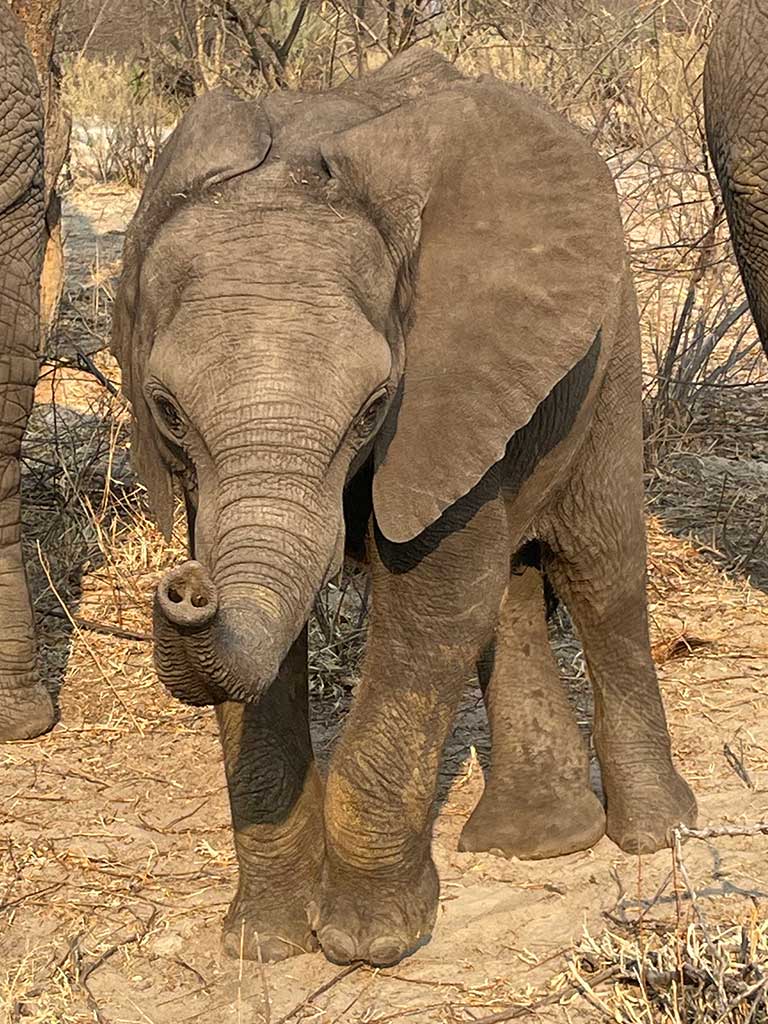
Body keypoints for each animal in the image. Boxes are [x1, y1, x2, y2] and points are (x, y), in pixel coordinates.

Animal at [112, 47, 697, 967]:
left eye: (374, 407)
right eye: (167, 410)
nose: (184, 586)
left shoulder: (446, 380)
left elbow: (431, 609)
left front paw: (368, 943)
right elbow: (273, 651)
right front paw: (265, 946)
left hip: (612, 350)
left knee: (599, 572)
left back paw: (656, 836)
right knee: (511, 588)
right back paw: (536, 843)